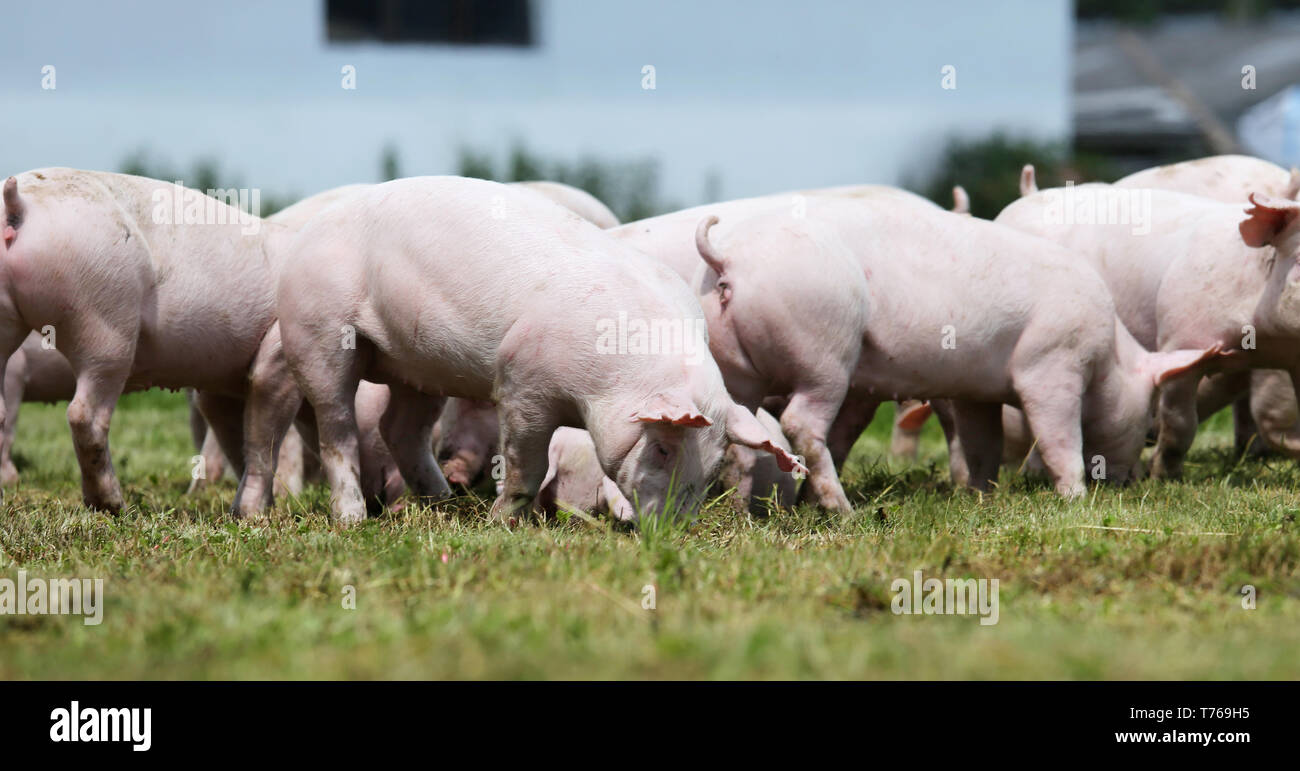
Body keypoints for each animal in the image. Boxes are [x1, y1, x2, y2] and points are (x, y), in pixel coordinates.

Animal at [272, 176, 802, 524]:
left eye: (713, 467)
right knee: (336, 426)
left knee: (400, 428)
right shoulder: (522, 381)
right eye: (662, 448)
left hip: (416, 363)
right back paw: (353, 520)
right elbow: (528, 466)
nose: (667, 531)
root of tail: (308, 234)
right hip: (317, 330)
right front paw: (500, 525)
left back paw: (444, 505)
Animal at [682, 193, 1219, 499]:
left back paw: (749, 511)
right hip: (823, 349)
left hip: (736, 367)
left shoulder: (975, 392)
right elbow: (1059, 435)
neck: (1108, 358)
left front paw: (979, 497)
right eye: (1146, 424)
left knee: (742, 423)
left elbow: (983, 444)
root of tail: (727, 256)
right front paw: (1074, 499)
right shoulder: (1052, 365)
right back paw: (844, 511)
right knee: (801, 422)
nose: (1130, 483)